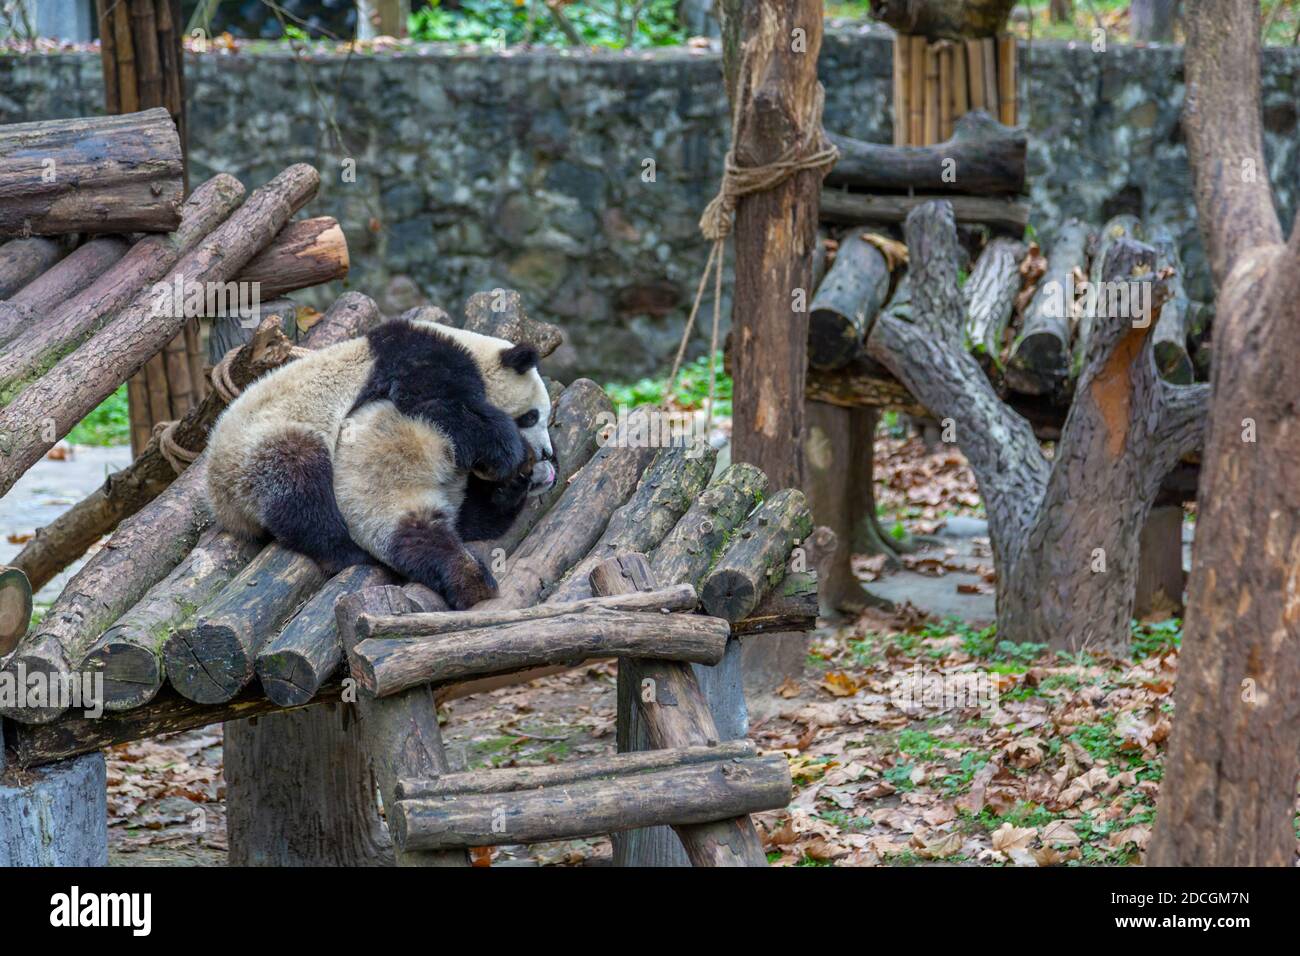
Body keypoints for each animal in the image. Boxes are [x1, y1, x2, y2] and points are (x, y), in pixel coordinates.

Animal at [206, 317, 556, 609]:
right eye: (532, 416)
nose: (547, 453)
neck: (471, 347)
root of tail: (224, 501)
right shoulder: (419, 358)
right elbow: (436, 403)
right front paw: (508, 452)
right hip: (266, 449)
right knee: (303, 493)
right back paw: (347, 549)